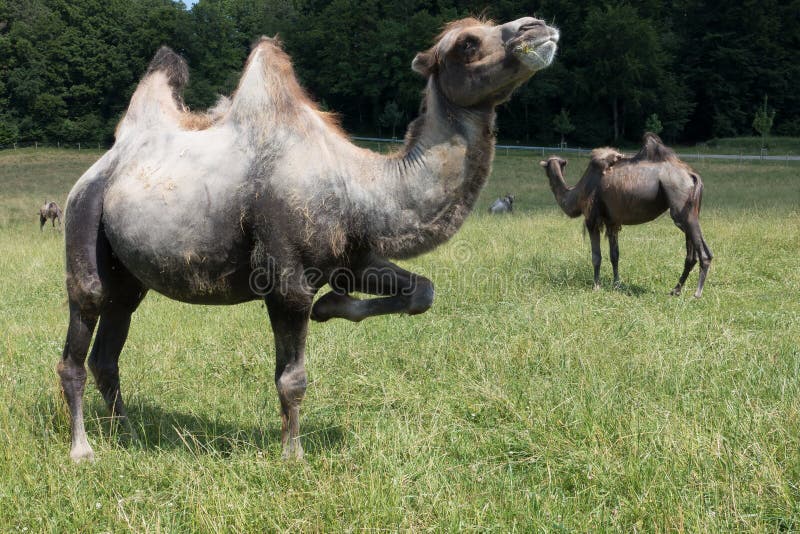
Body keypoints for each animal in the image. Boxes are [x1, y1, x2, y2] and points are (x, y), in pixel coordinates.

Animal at [58, 17, 559, 462]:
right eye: (467, 43)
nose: (538, 27)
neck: (357, 187)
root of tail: (103, 164)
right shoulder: (286, 280)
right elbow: (293, 377)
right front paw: (293, 455)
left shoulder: (351, 259)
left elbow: (422, 291)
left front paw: (333, 306)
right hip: (84, 218)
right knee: (80, 333)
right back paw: (83, 449)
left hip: (129, 275)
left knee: (109, 347)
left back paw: (127, 432)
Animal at [539, 133, 712, 297]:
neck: (577, 193)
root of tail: (692, 176)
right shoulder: (612, 222)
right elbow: (614, 255)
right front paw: (617, 284)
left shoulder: (592, 218)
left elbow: (596, 256)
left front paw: (596, 286)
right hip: (691, 211)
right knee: (692, 255)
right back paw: (675, 290)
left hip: (680, 209)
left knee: (704, 254)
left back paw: (697, 293)